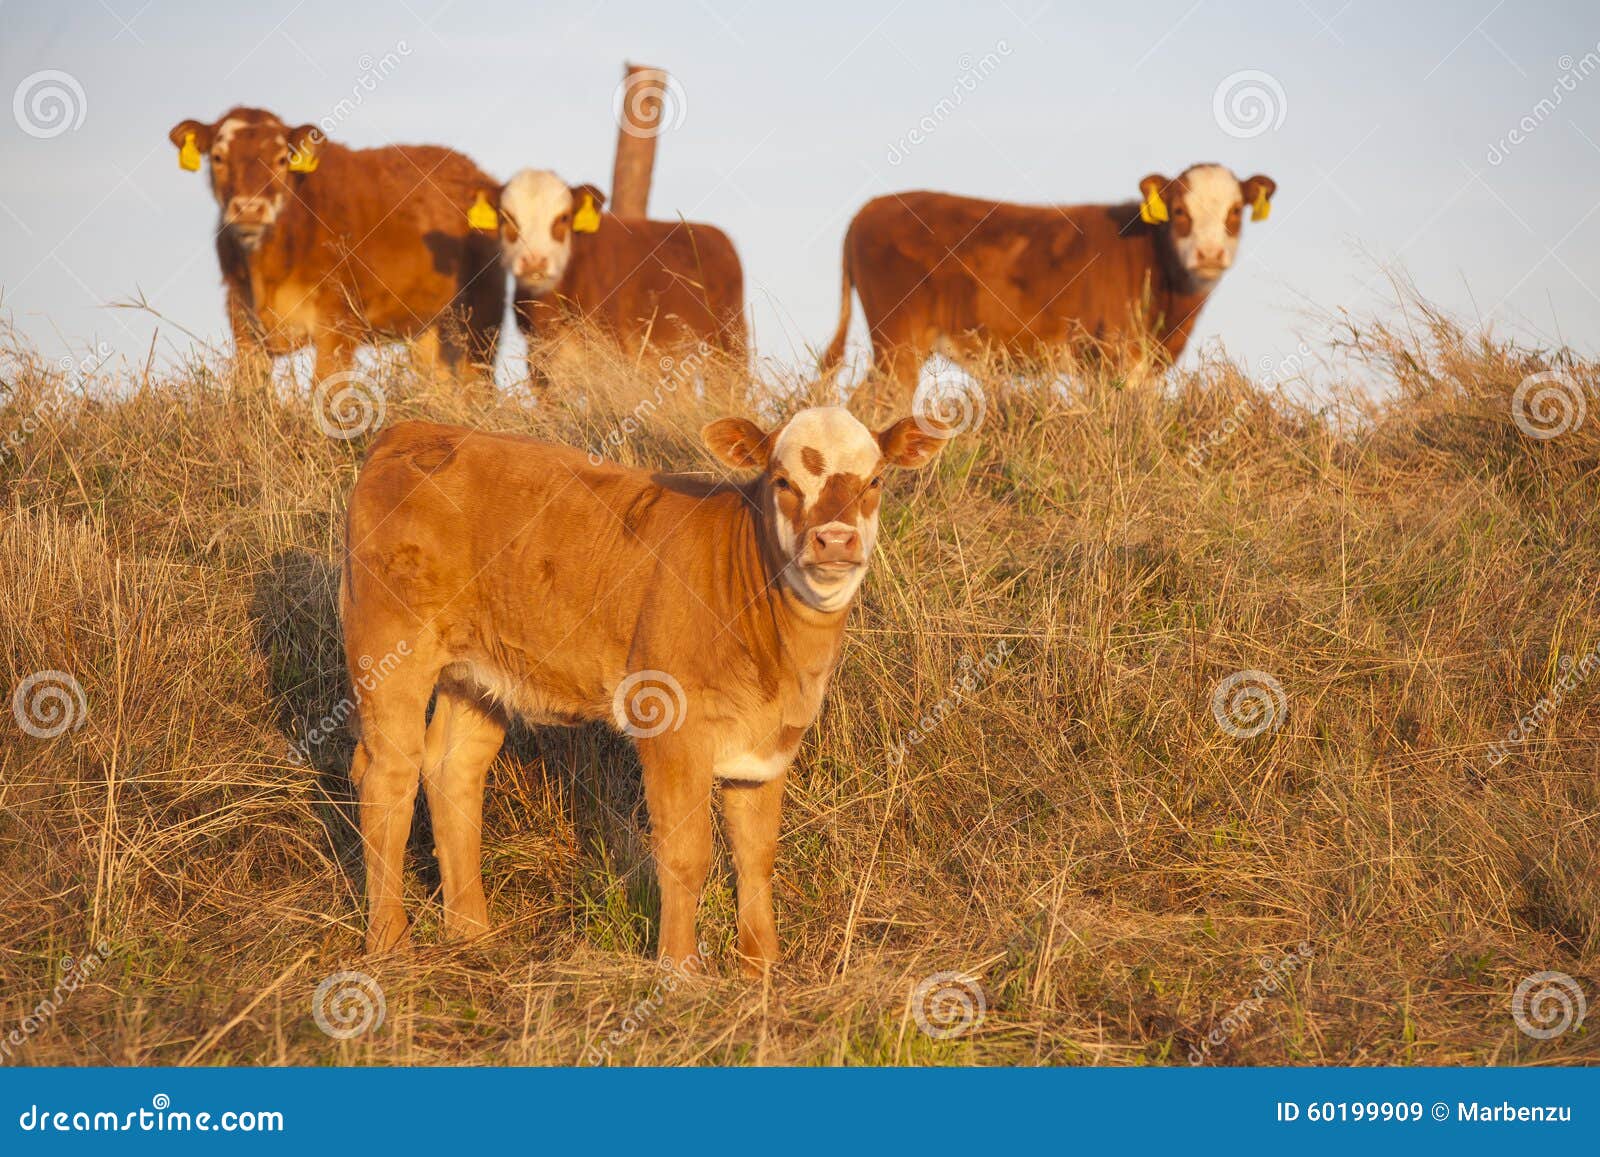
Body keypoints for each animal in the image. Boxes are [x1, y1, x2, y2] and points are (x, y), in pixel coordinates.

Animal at [167, 107, 505, 382]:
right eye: (218, 158)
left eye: (281, 160)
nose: (250, 209)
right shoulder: (243, 321)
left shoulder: (338, 322)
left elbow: (325, 390)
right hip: (430, 329)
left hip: (480, 320)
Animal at [339, 406, 948, 973]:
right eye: (782, 481)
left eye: (875, 481)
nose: (835, 540)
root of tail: (410, 431)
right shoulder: (672, 728)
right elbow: (686, 855)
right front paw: (680, 969)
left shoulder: (768, 744)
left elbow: (757, 853)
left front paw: (762, 969)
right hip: (391, 649)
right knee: (387, 777)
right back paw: (390, 943)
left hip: (476, 674)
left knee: (452, 770)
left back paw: (472, 934)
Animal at [820, 164, 1277, 404]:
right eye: (1180, 211)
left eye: (1235, 211)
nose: (1210, 254)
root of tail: (871, 207)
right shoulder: (1115, 353)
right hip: (898, 340)